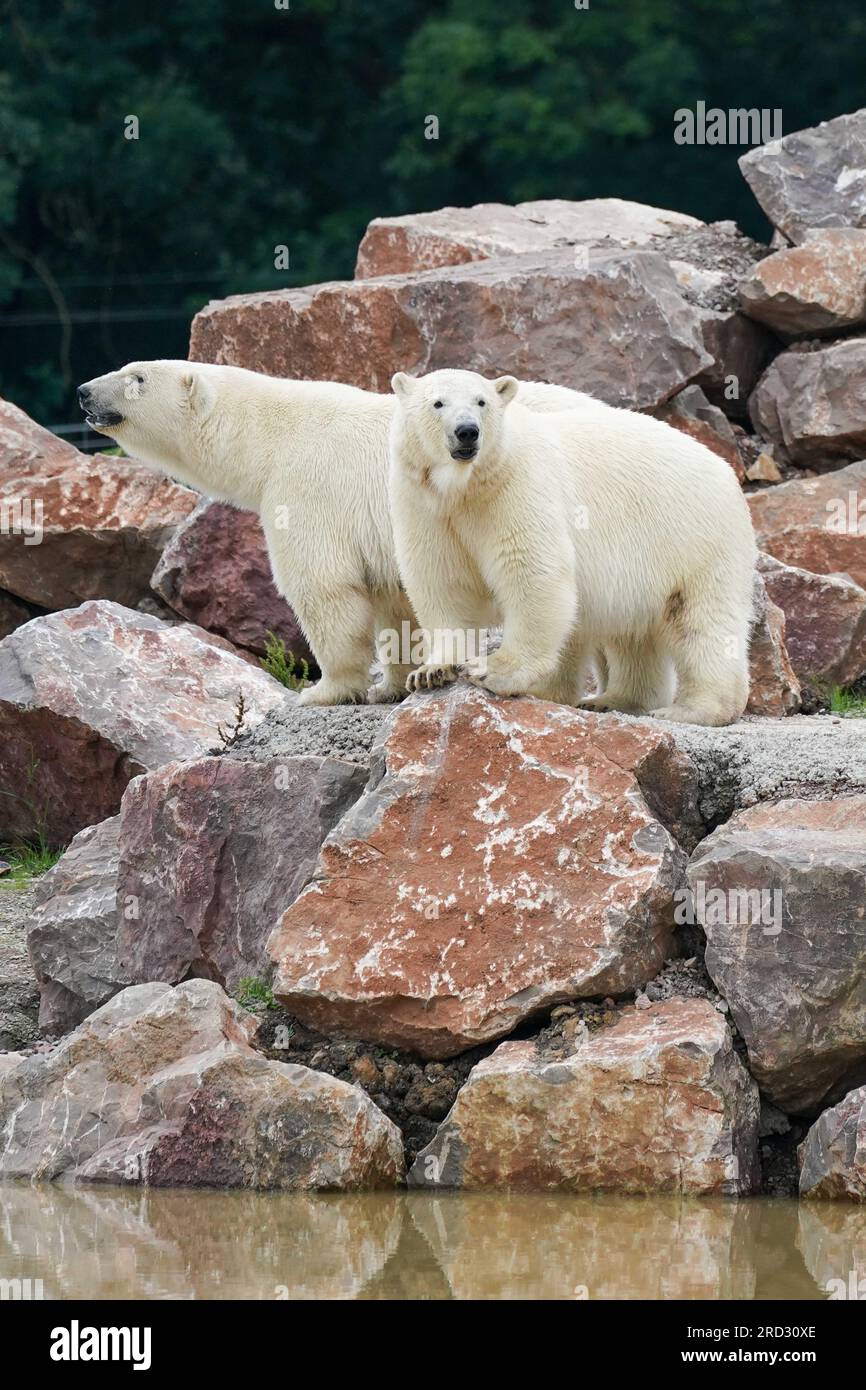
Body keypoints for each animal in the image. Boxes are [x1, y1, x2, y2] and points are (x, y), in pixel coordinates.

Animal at [77, 360, 602, 706]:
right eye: (126, 368)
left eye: (136, 379)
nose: (84, 391)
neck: (268, 437)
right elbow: (396, 602)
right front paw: (392, 685)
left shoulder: (308, 488)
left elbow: (323, 587)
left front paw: (322, 691)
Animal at [389, 368, 758, 726]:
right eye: (438, 403)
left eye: (481, 402)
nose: (467, 431)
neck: (465, 487)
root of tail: (727, 472)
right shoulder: (427, 507)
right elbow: (443, 582)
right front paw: (432, 671)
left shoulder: (518, 487)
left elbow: (532, 572)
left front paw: (492, 670)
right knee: (633, 635)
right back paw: (612, 700)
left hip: (695, 540)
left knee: (699, 621)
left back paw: (692, 709)